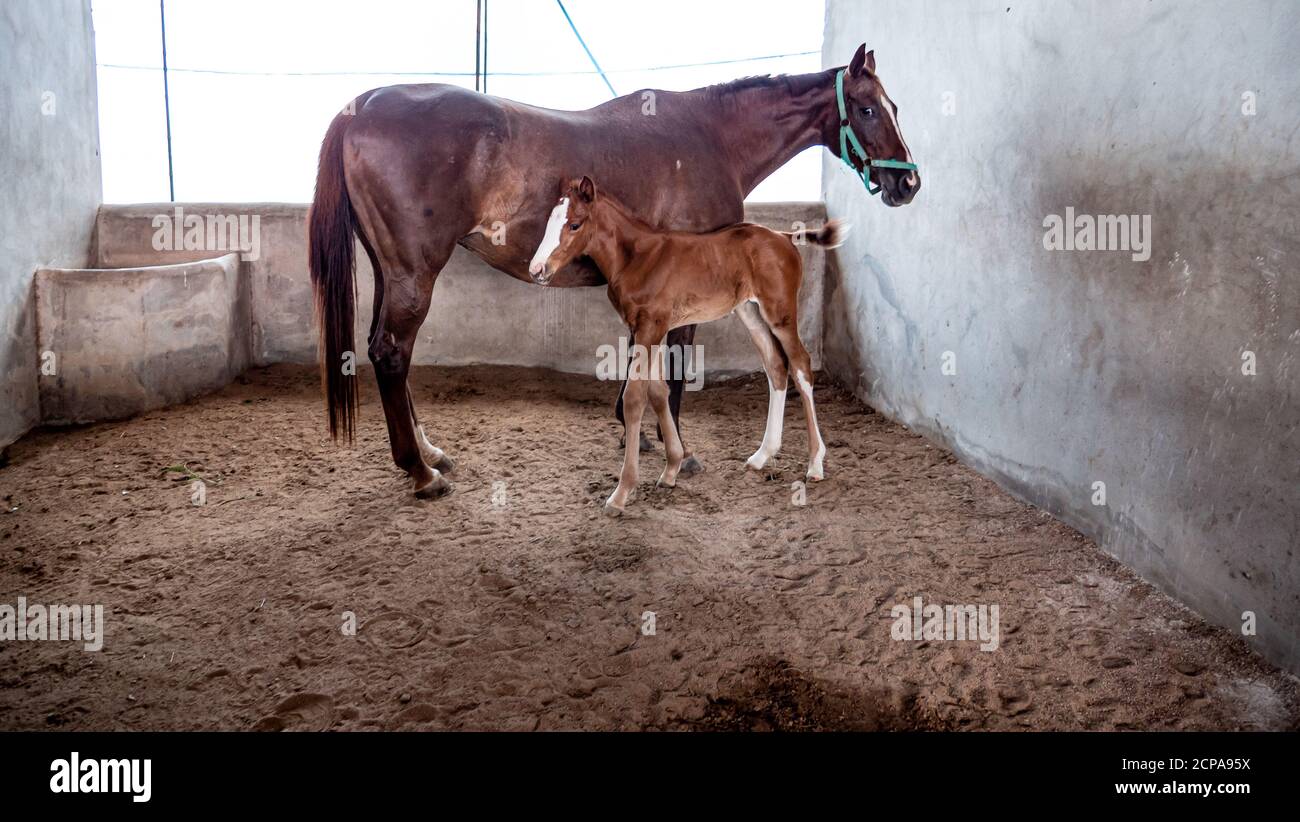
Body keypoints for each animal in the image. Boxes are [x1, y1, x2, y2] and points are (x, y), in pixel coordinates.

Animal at [529, 176, 843, 514]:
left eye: (574, 224)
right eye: (549, 221)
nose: (537, 270)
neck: (636, 258)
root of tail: (784, 237)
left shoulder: (651, 327)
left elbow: (635, 398)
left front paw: (622, 492)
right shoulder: (648, 329)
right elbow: (658, 391)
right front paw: (672, 468)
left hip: (780, 313)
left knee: (801, 365)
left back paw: (815, 464)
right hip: (750, 312)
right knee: (775, 367)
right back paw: (762, 455)